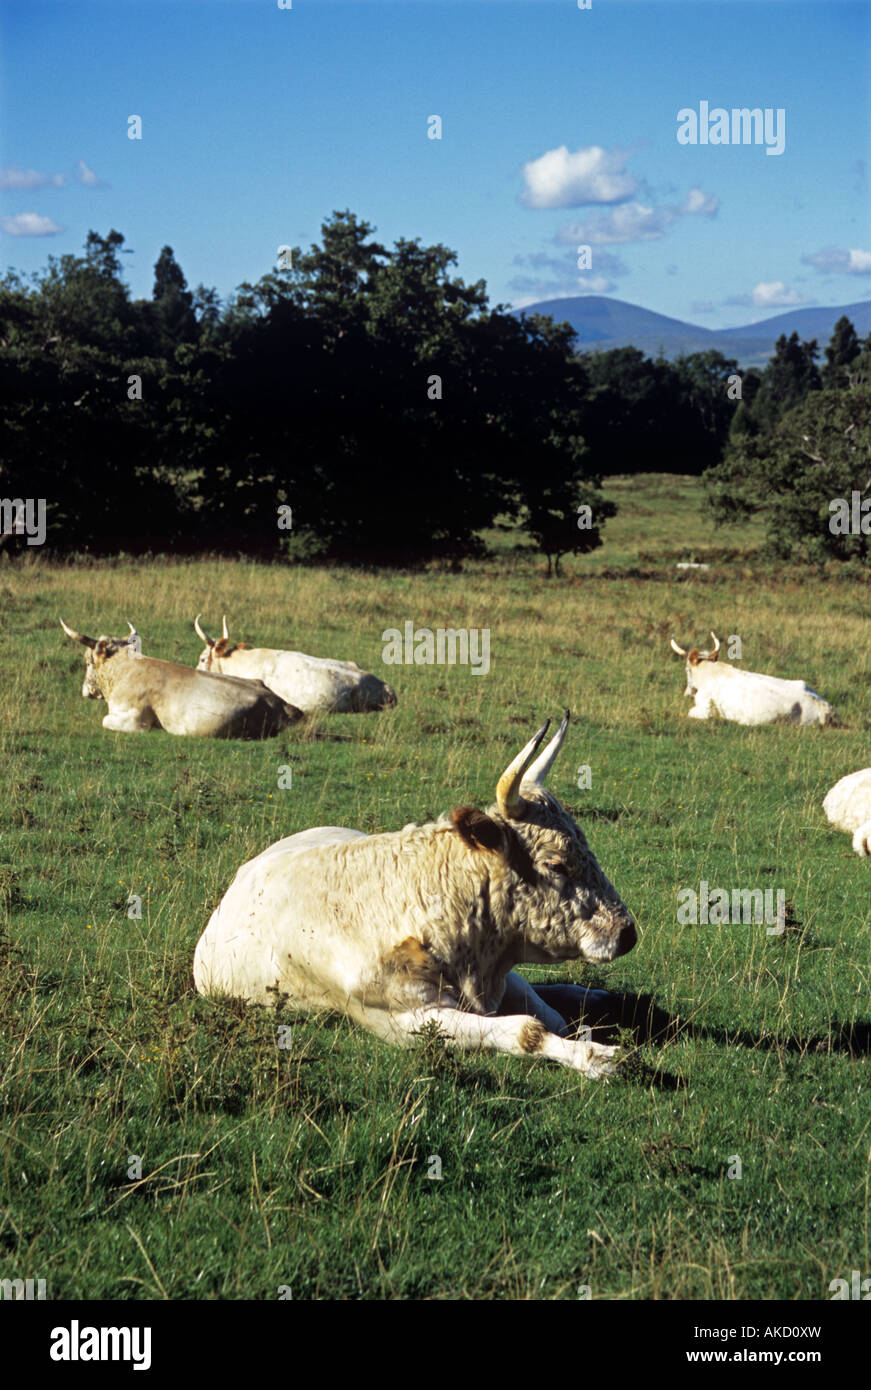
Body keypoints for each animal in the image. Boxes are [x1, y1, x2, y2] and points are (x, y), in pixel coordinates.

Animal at [61, 620, 302, 737]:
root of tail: (279, 702)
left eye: (88, 661)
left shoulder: (134, 718)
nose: (85, 690)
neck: (124, 670)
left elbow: (106, 721)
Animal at [194, 712, 637, 1077]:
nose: (627, 933)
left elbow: (551, 1015)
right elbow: (528, 1030)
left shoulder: (499, 973)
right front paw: (594, 1057)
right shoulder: (408, 1019)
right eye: (557, 864)